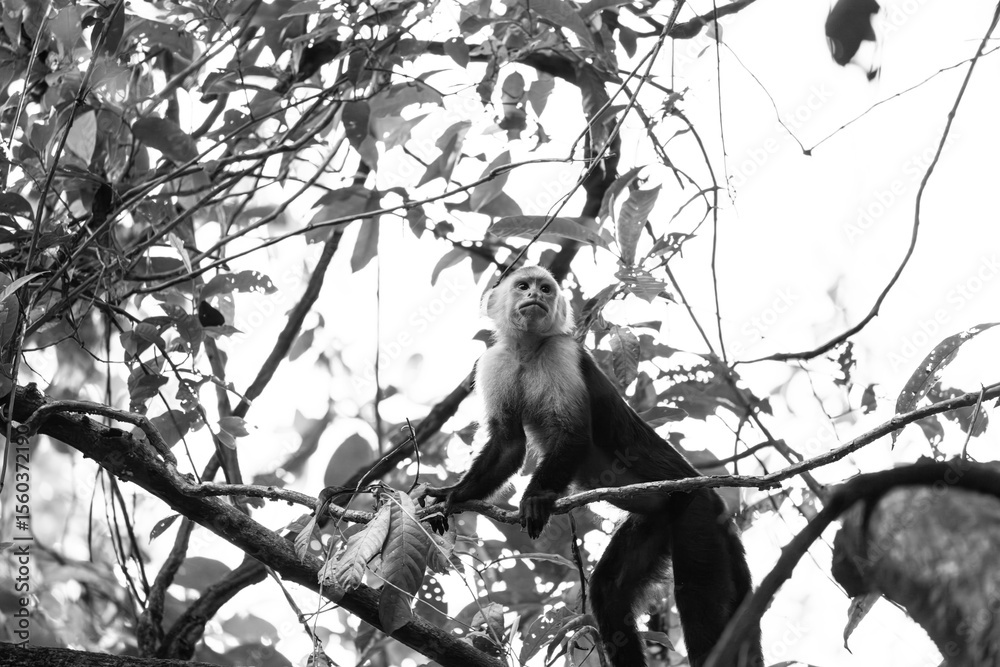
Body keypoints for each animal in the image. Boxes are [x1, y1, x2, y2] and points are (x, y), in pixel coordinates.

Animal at [424, 266, 762, 667]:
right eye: (523, 287)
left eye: (545, 289)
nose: (536, 295)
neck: (528, 349)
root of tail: (710, 494)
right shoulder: (494, 363)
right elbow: (508, 445)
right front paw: (454, 494)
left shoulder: (562, 353)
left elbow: (573, 436)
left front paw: (535, 498)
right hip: (658, 521)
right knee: (608, 591)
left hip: (696, 510)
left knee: (696, 593)